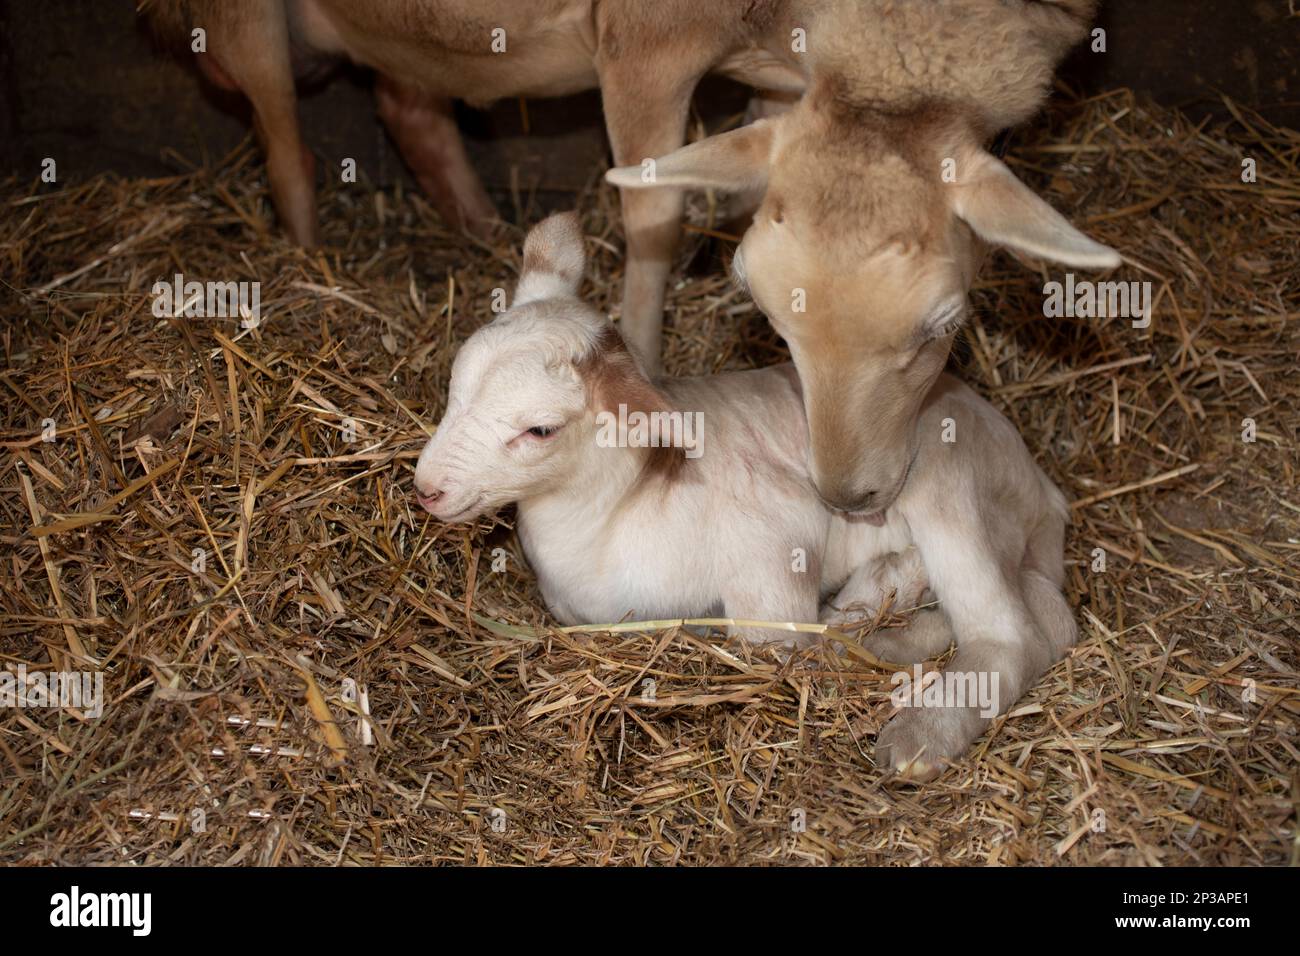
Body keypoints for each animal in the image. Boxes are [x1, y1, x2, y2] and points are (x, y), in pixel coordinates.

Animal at [414, 212, 1077, 782]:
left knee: (1016, 632)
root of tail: (1042, 487)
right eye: (454, 383)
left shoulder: (776, 546)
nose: (427, 489)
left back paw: (917, 732)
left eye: (540, 430)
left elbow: (787, 649)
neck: (616, 512)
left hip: (951, 484)